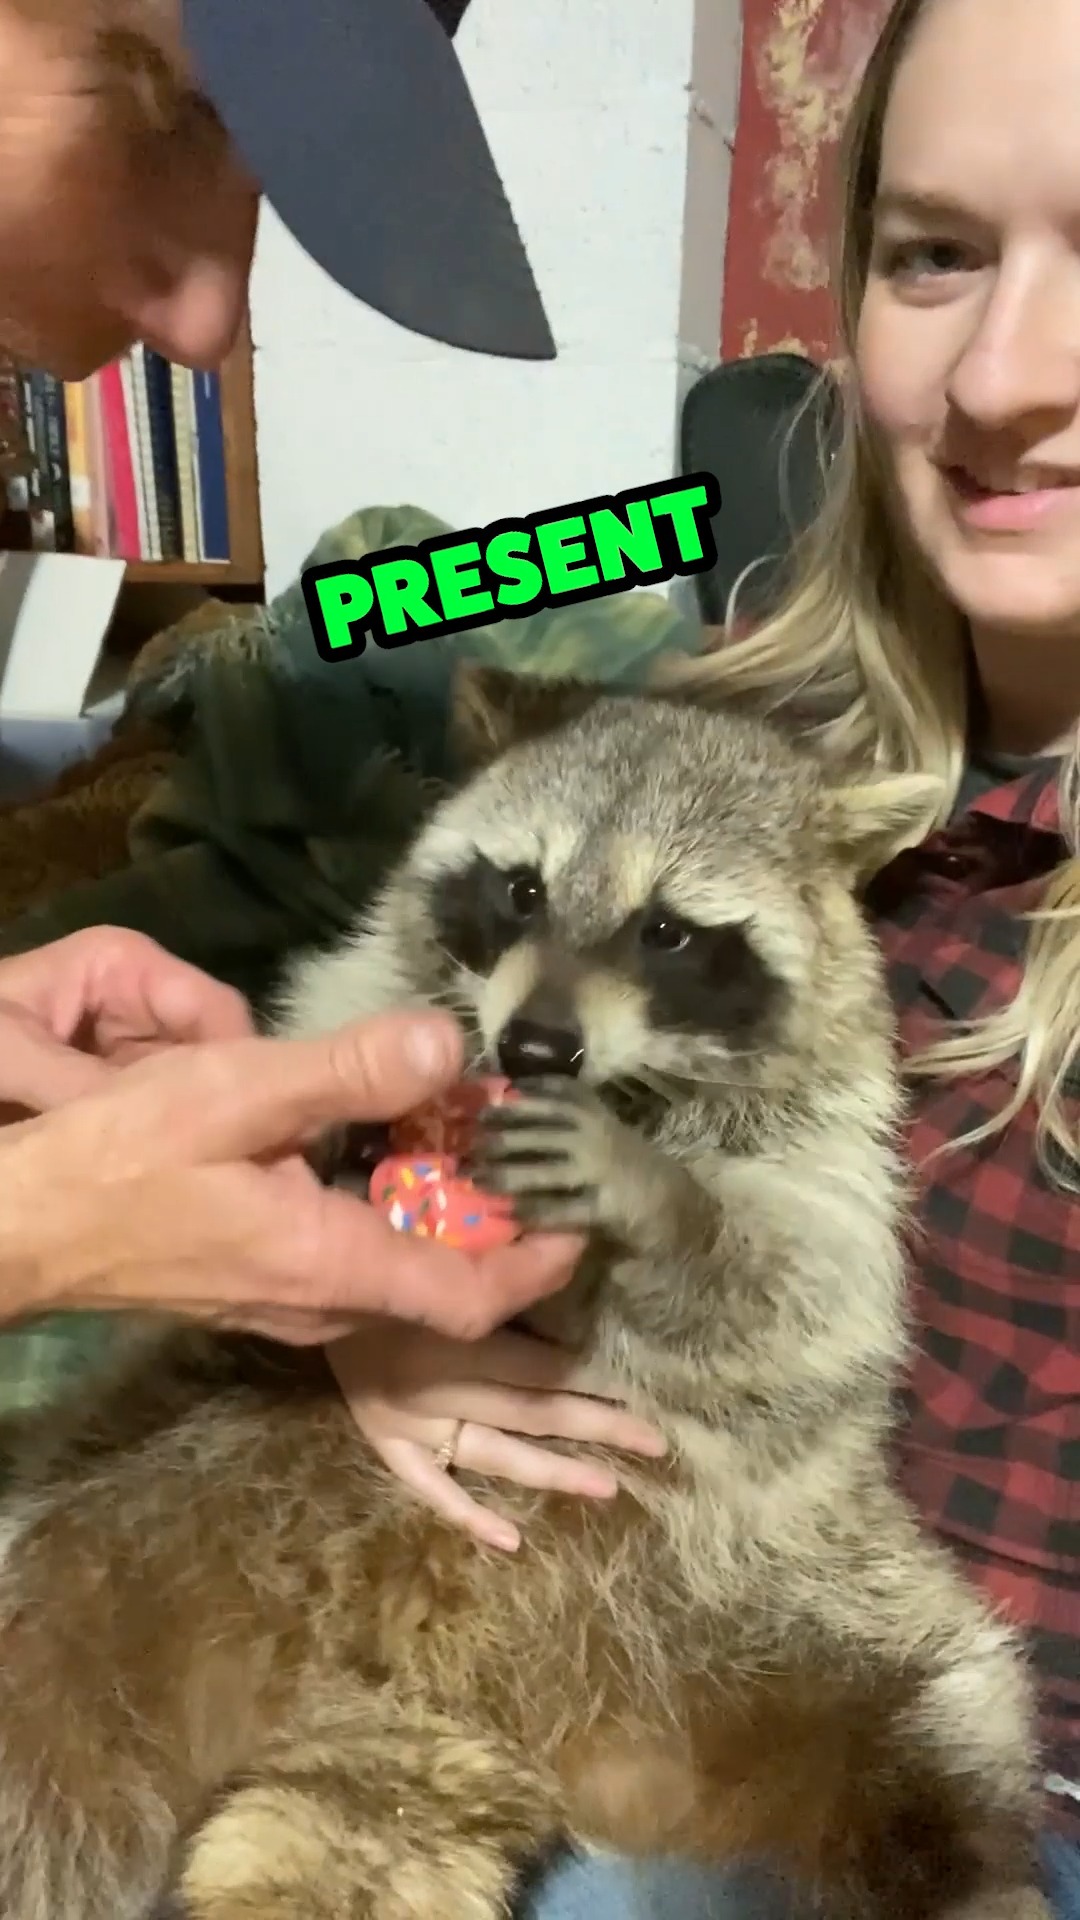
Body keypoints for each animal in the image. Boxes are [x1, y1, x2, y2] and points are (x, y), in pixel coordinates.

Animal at [0, 668, 1050, 1920]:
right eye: (522, 888)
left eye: (665, 929)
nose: (537, 1045)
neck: (630, 1087)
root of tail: (440, 1685)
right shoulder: (363, 996)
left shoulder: (834, 1155)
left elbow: (798, 1296)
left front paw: (665, 1207)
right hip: (136, 1505)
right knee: (40, 1734)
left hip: (815, 1608)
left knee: (939, 1751)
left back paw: (974, 1873)